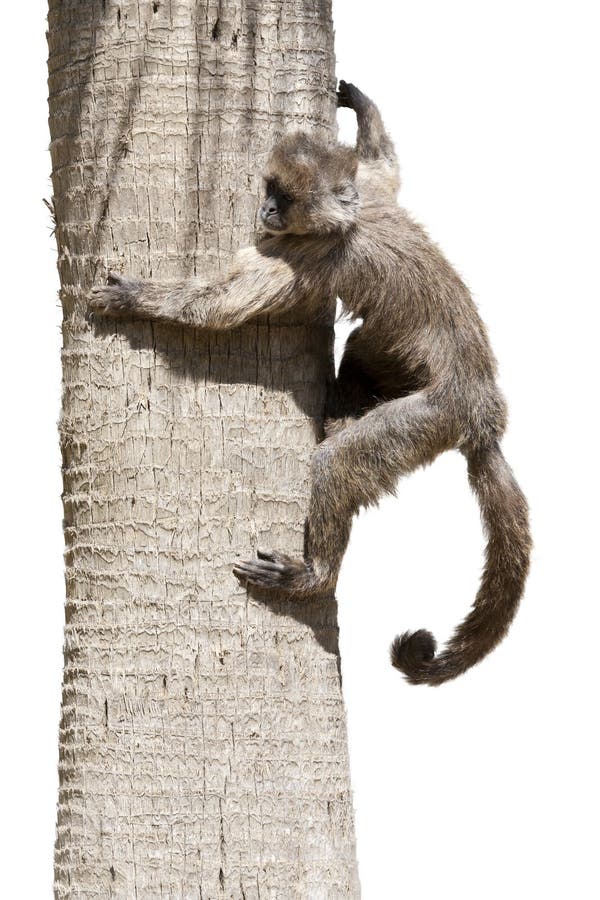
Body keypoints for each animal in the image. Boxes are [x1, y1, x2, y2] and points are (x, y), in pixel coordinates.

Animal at [90, 81, 531, 686]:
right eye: (270, 189)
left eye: (284, 198)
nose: (267, 209)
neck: (346, 221)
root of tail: (485, 413)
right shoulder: (366, 197)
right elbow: (384, 171)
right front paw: (358, 102)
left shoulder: (306, 256)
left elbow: (220, 309)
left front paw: (135, 298)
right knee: (366, 343)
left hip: (436, 416)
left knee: (341, 459)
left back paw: (315, 574)